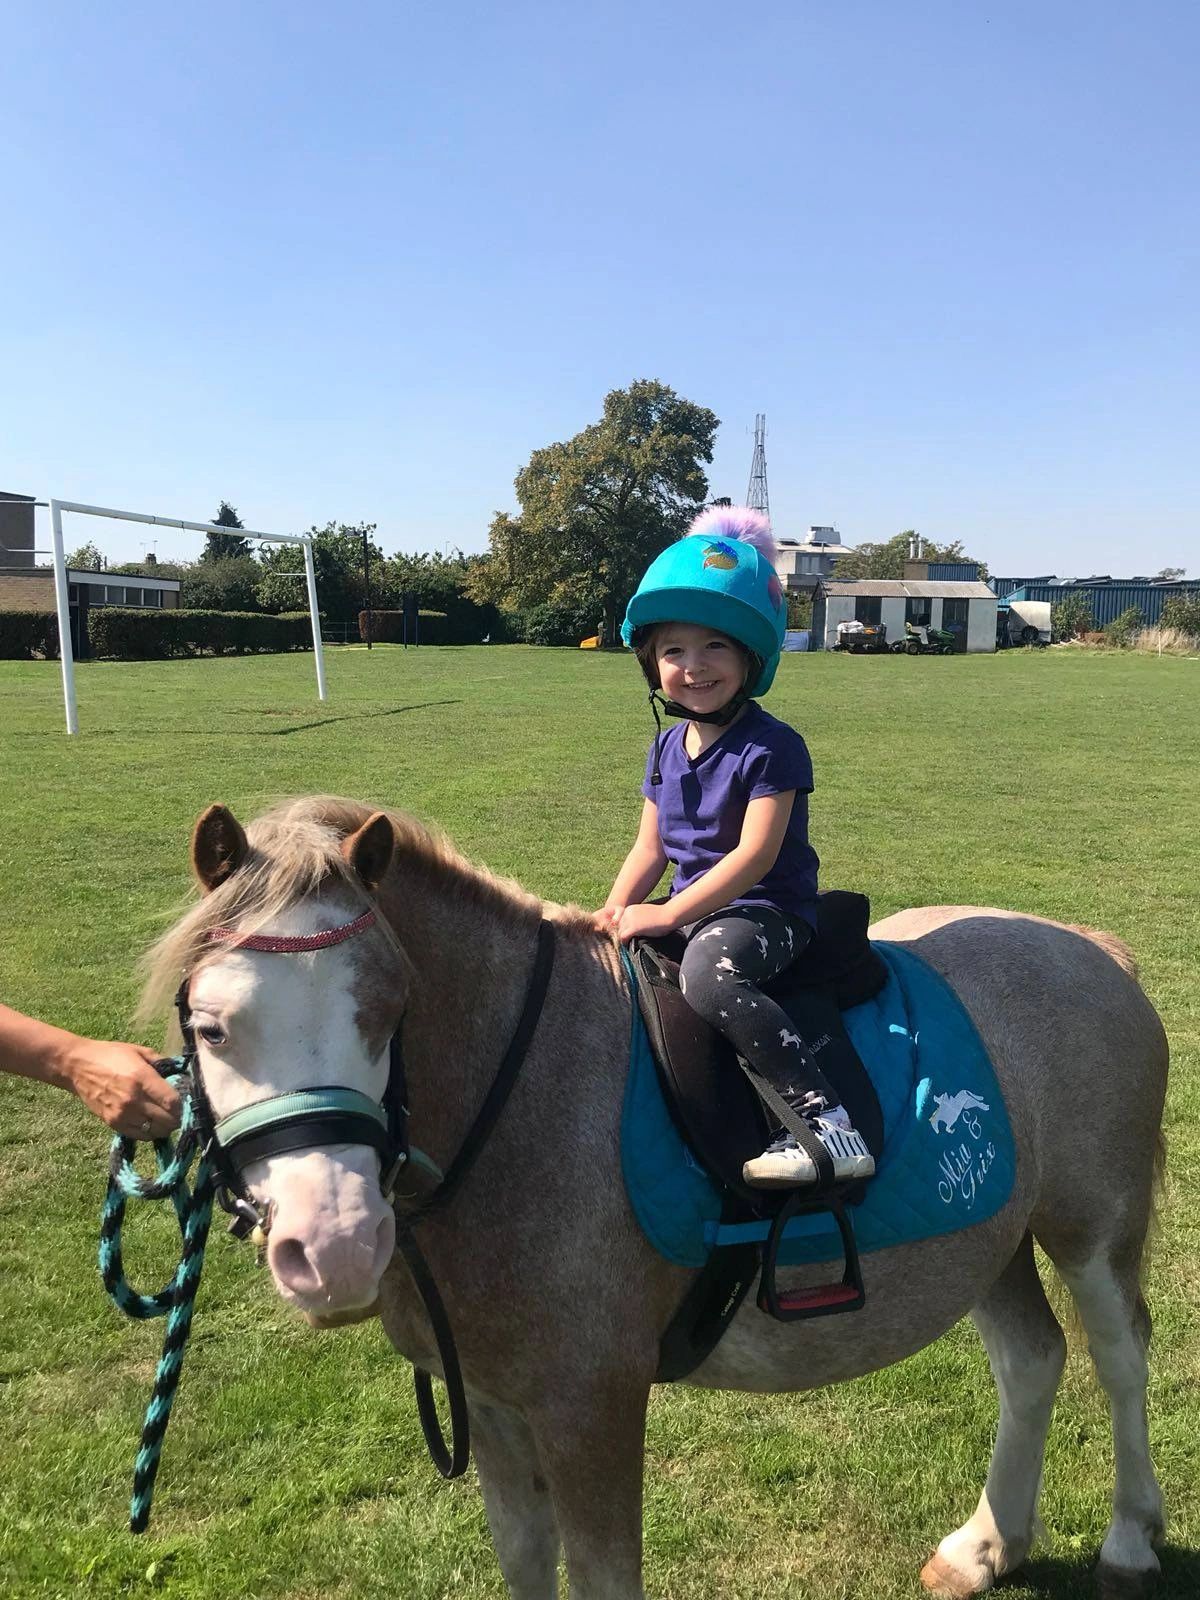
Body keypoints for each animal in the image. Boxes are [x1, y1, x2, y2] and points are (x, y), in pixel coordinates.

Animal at [139, 794, 1170, 1600]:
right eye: (211, 1025)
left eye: (391, 1011)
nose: (336, 1243)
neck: (523, 1091)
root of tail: (1092, 949)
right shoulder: (499, 1405)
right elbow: (523, 1561)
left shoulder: (589, 1406)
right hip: (989, 1234)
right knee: (1031, 1360)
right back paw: (988, 1546)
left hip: (1092, 1225)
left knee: (1119, 1355)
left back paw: (1129, 1539)